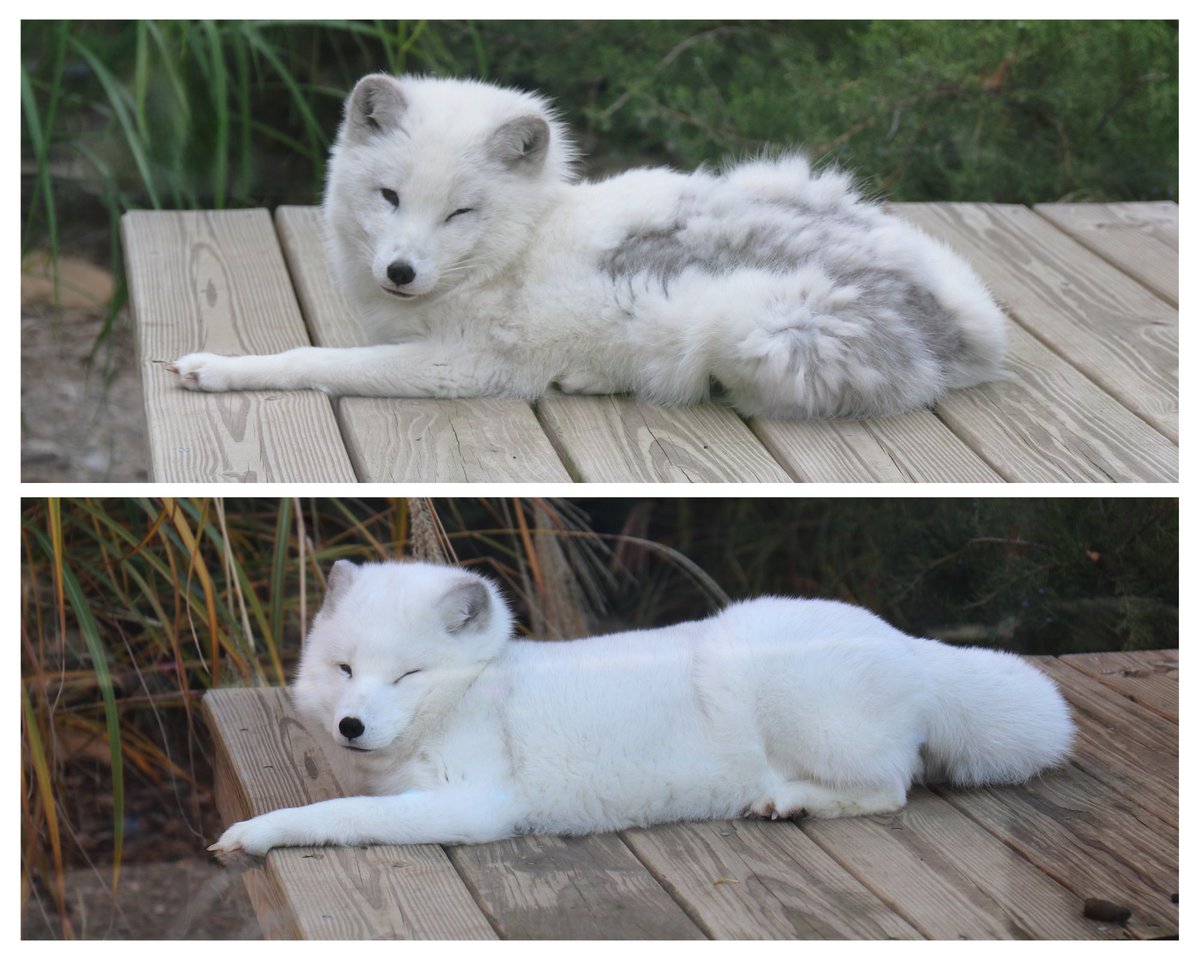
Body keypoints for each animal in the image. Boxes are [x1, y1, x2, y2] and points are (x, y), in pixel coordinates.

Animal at [170, 74, 1006, 419]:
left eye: (459, 212)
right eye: (390, 197)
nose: (400, 272)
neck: (518, 245)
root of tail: (967, 328)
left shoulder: (458, 366)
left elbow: (314, 360)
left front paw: (221, 369)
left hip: (754, 329)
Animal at [209, 560, 1072, 860]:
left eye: (409, 674)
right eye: (345, 670)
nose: (351, 726)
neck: (476, 693)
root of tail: (906, 642)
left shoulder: (475, 803)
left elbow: (340, 813)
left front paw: (257, 834)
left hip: (775, 681)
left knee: (889, 788)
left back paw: (787, 800)